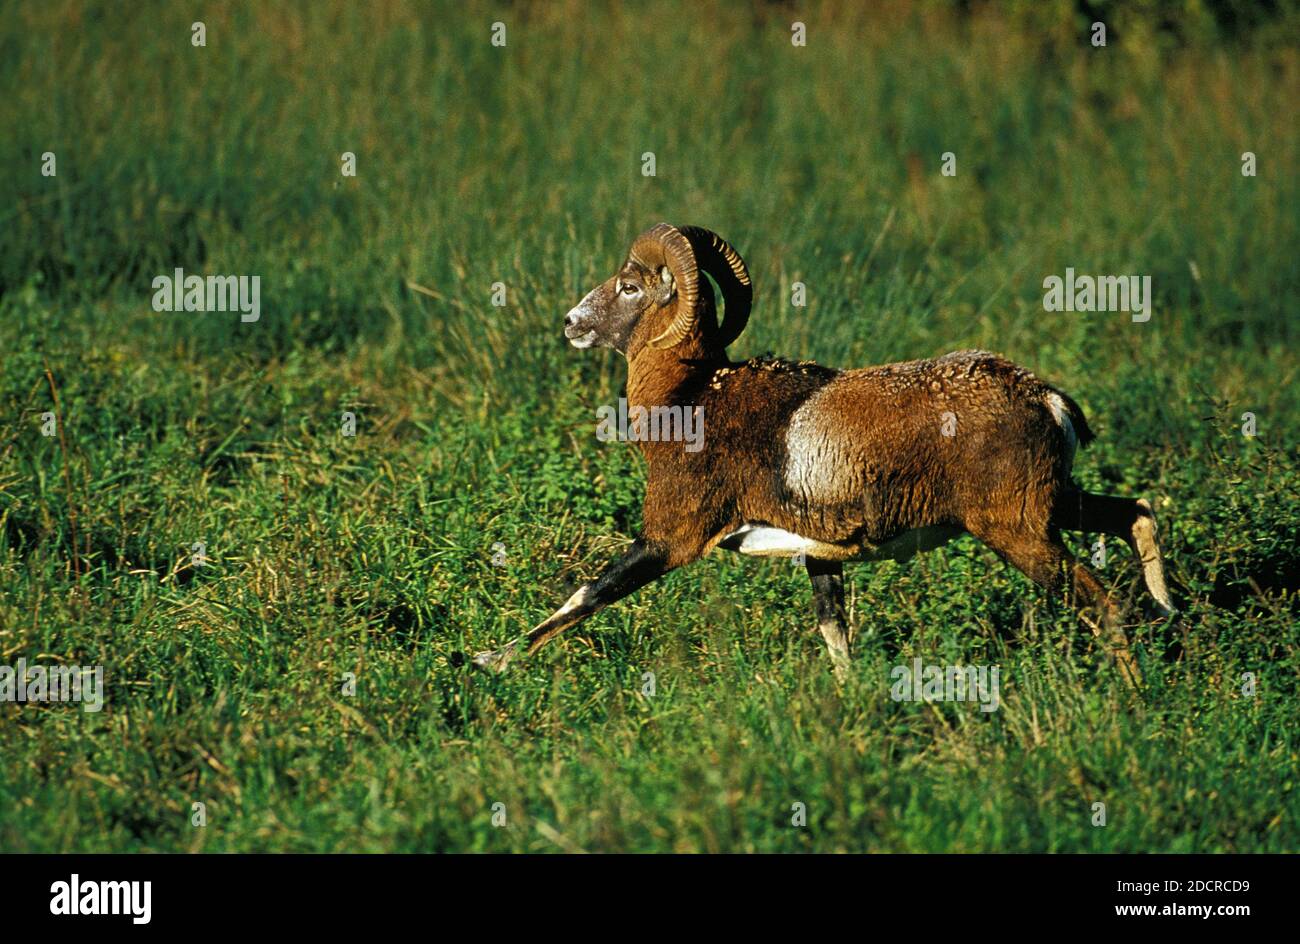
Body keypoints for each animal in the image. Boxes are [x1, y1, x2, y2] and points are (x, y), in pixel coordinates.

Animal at [471, 223, 1175, 684]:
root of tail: (1045, 398)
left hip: (1020, 533)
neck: (690, 398)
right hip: (1057, 508)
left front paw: (487, 661)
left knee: (1102, 604)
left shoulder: (670, 540)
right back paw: (1170, 615)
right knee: (1136, 513)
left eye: (628, 285)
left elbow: (587, 596)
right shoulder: (820, 557)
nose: (571, 322)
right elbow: (836, 636)